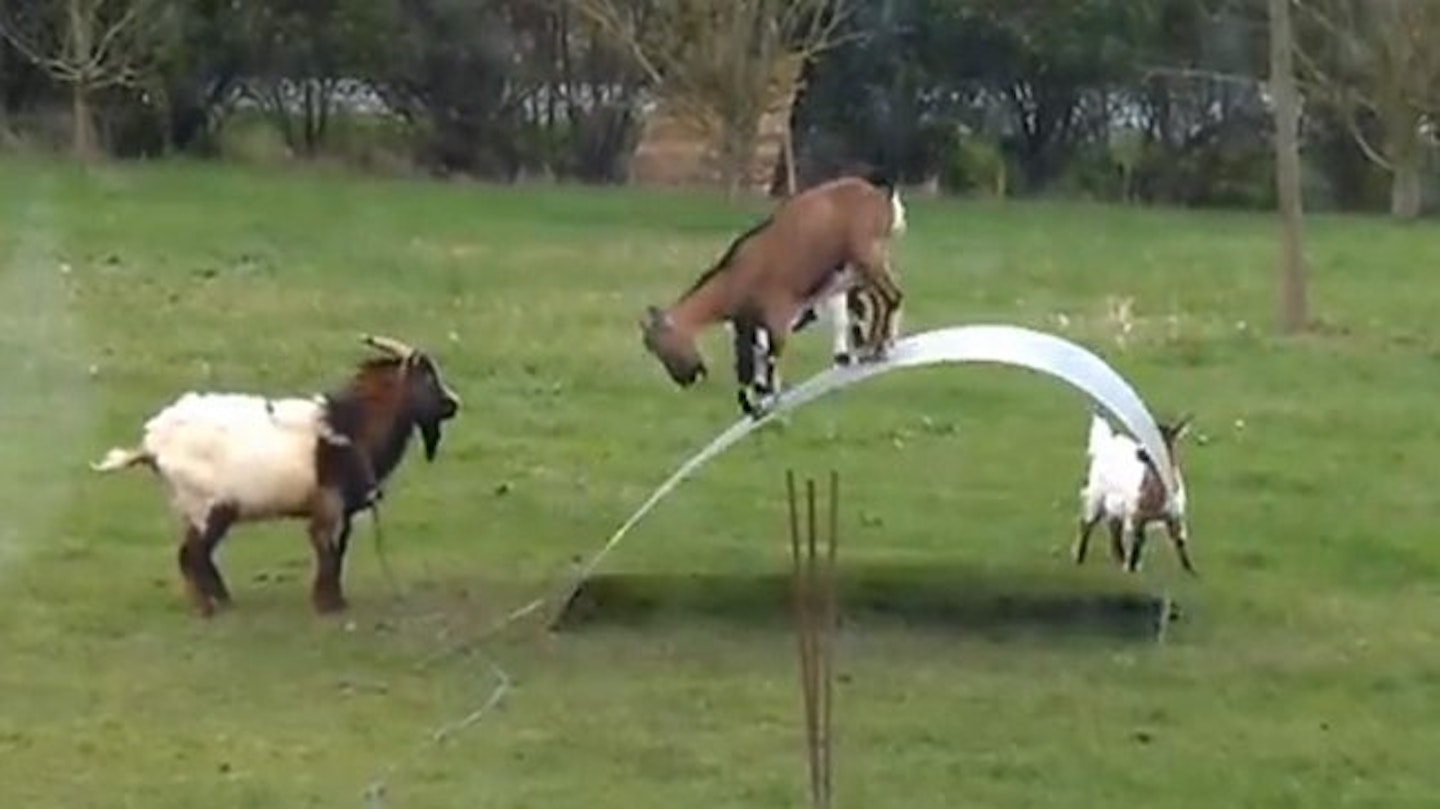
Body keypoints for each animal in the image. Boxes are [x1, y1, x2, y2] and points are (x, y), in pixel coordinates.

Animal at [90, 335, 461, 616]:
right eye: (428, 379)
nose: (453, 404)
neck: (349, 425)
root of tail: (152, 443)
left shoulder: (343, 510)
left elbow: (339, 550)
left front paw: (336, 601)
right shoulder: (328, 504)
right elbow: (326, 549)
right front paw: (327, 605)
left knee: (198, 555)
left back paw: (223, 602)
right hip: (207, 506)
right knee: (191, 554)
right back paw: (207, 609)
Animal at [640, 172, 907, 419]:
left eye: (662, 345)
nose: (686, 378)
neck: (735, 279)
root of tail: (881, 196)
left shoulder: (776, 317)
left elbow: (769, 359)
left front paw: (768, 399)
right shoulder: (745, 325)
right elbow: (745, 365)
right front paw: (752, 405)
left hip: (868, 256)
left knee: (892, 297)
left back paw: (876, 348)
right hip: (860, 271)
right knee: (881, 300)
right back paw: (875, 346)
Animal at [1074, 410, 1197, 575]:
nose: (1140, 452)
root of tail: (1108, 442)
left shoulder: (1174, 514)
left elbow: (1179, 540)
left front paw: (1191, 571)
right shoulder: (1138, 514)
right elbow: (1138, 541)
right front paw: (1132, 568)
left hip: (1116, 506)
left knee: (1114, 530)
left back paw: (1120, 560)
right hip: (1096, 493)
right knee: (1088, 523)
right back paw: (1080, 559)